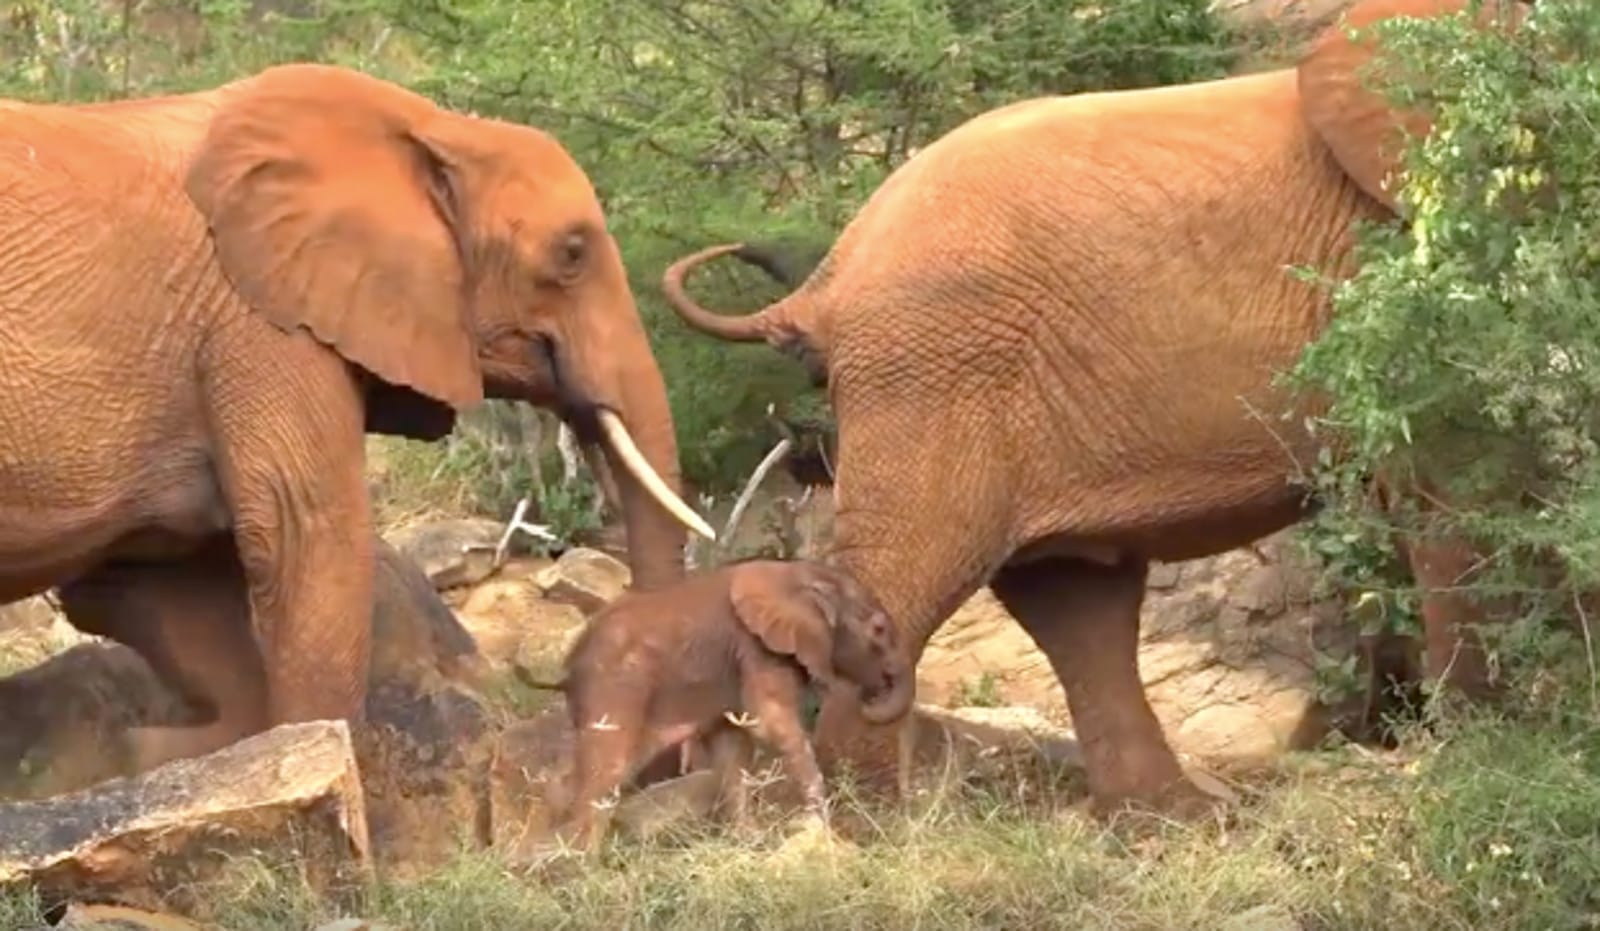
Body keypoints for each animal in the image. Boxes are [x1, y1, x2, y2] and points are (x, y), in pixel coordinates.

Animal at [0, 63, 715, 777]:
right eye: (571, 253)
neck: (434, 127)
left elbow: (151, 582)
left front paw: (170, 754)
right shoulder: (260, 325)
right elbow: (309, 538)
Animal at [513, 558, 912, 855]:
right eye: (878, 630)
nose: (870, 695)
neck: (802, 574)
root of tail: (567, 665)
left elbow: (733, 745)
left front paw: (751, 841)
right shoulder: (757, 649)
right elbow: (769, 725)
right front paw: (819, 828)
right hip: (615, 687)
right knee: (607, 770)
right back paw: (580, 866)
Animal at [656, 0, 1529, 816]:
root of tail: (827, 279)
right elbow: (1453, 476)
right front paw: (1492, 755)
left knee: (1077, 600)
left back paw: (1173, 823)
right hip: (929, 378)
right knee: (911, 577)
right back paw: (862, 827)